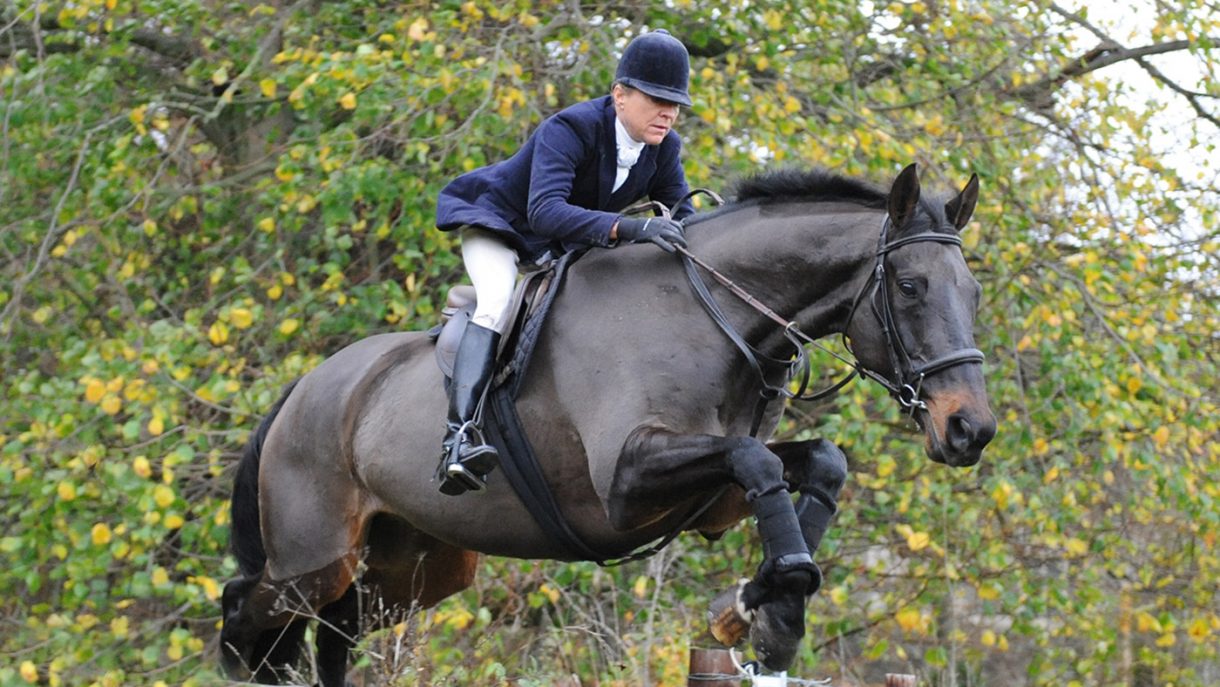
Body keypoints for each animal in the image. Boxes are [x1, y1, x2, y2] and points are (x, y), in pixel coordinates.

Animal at [219, 163, 996, 685]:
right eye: (911, 287)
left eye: (973, 292)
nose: (971, 430)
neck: (713, 314)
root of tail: (306, 389)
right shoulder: (624, 486)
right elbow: (762, 461)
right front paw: (777, 605)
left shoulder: (709, 499)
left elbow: (812, 461)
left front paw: (765, 608)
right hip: (312, 560)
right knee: (248, 614)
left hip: (415, 568)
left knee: (335, 631)